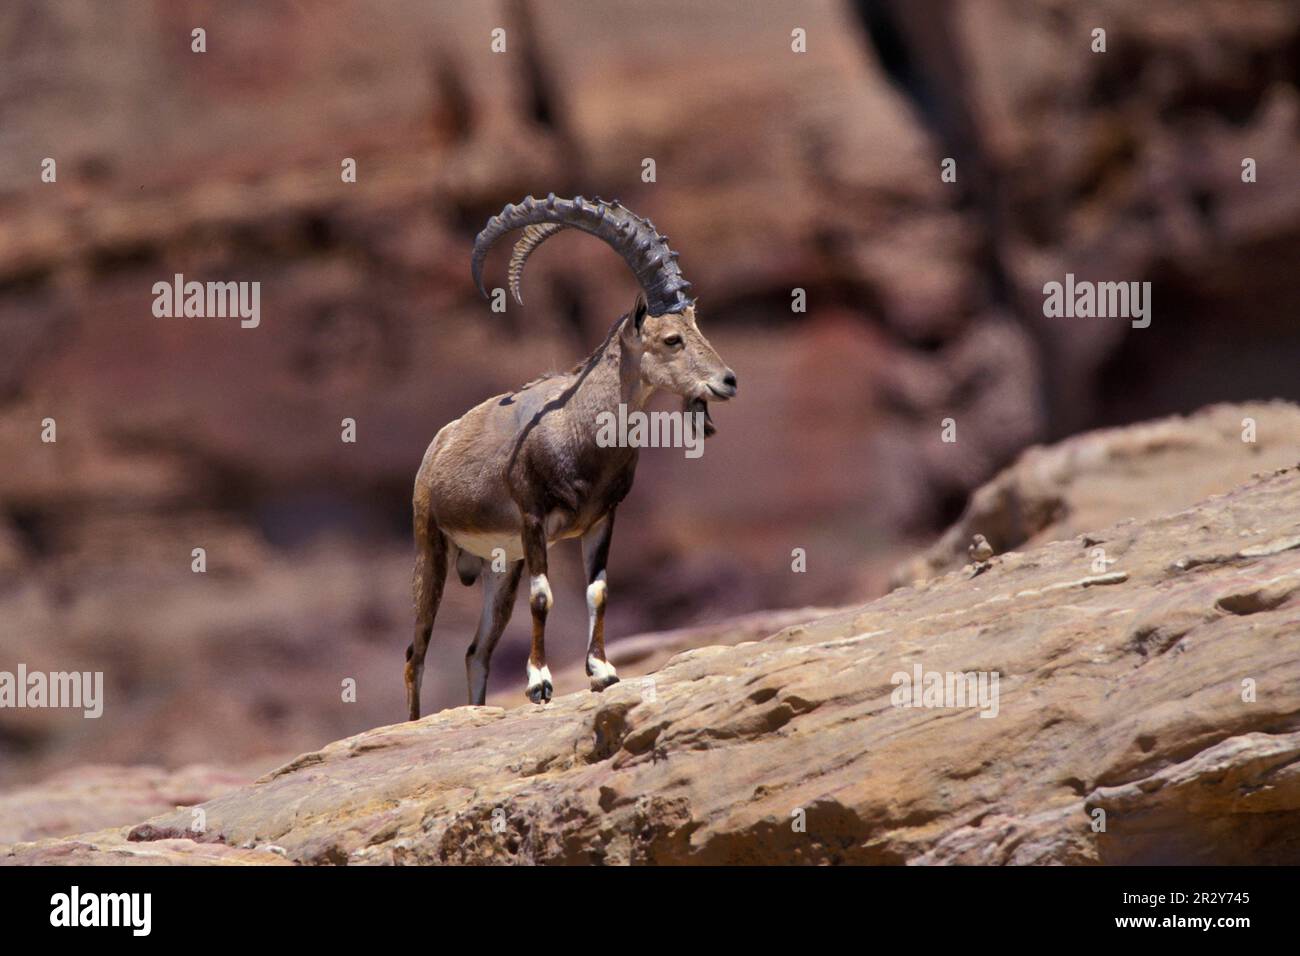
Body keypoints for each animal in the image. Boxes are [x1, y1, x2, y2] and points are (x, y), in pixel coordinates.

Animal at [404, 195, 738, 717]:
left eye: (698, 327)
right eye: (672, 339)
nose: (728, 381)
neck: (581, 434)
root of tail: (438, 445)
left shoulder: (601, 519)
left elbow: (598, 591)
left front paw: (602, 671)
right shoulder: (534, 518)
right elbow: (543, 597)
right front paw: (540, 683)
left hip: (502, 565)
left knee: (477, 651)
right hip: (430, 546)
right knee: (416, 653)